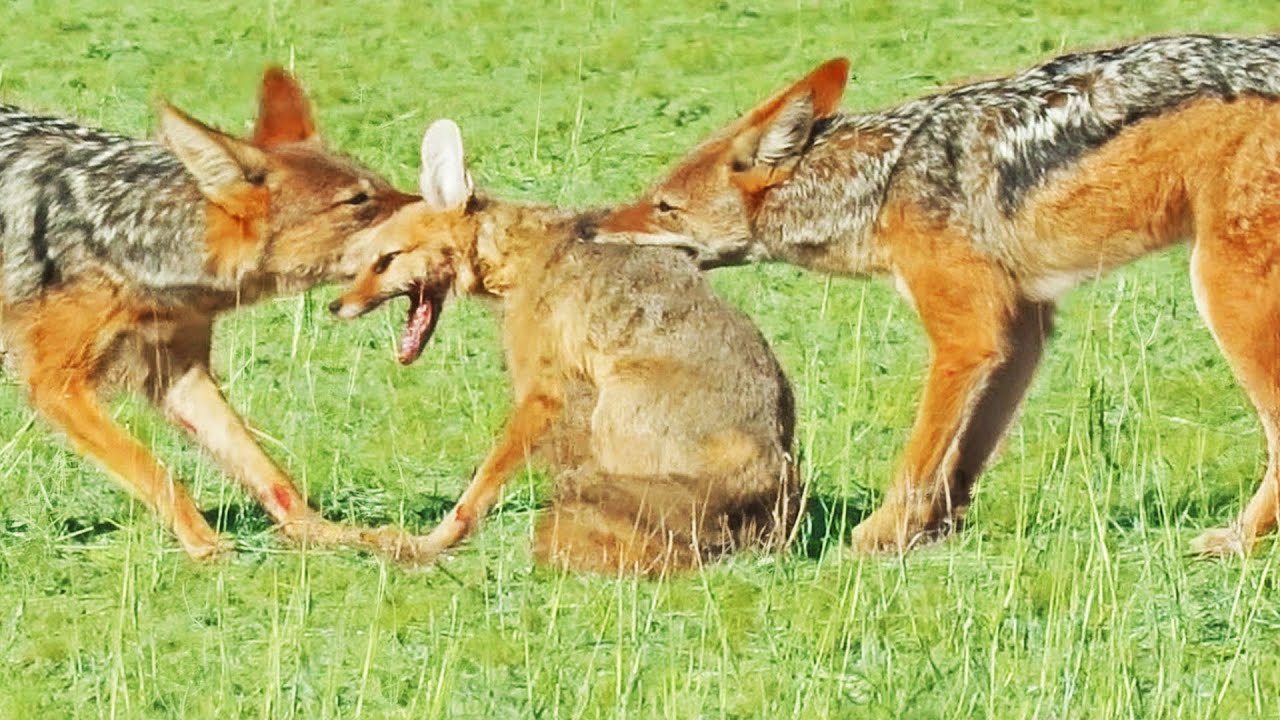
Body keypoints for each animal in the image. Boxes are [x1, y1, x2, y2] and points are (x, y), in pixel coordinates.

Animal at [0, 68, 432, 562]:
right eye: (358, 201)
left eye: (381, 185)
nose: (454, 204)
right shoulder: (57, 385)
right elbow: (158, 473)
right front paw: (205, 546)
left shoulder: (181, 375)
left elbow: (269, 474)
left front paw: (328, 532)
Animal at [329, 120, 800, 575]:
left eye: (386, 260)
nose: (336, 306)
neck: (519, 255)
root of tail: (775, 469)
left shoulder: (542, 393)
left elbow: (477, 490)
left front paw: (430, 543)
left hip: (612, 412)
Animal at [591, 33, 1280, 558]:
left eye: (665, 207)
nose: (589, 228)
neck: (880, 183)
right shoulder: (1021, 330)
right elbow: (964, 457)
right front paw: (932, 533)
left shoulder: (966, 339)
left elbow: (918, 458)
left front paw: (877, 538)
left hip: (1224, 298)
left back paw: (1239, 541)